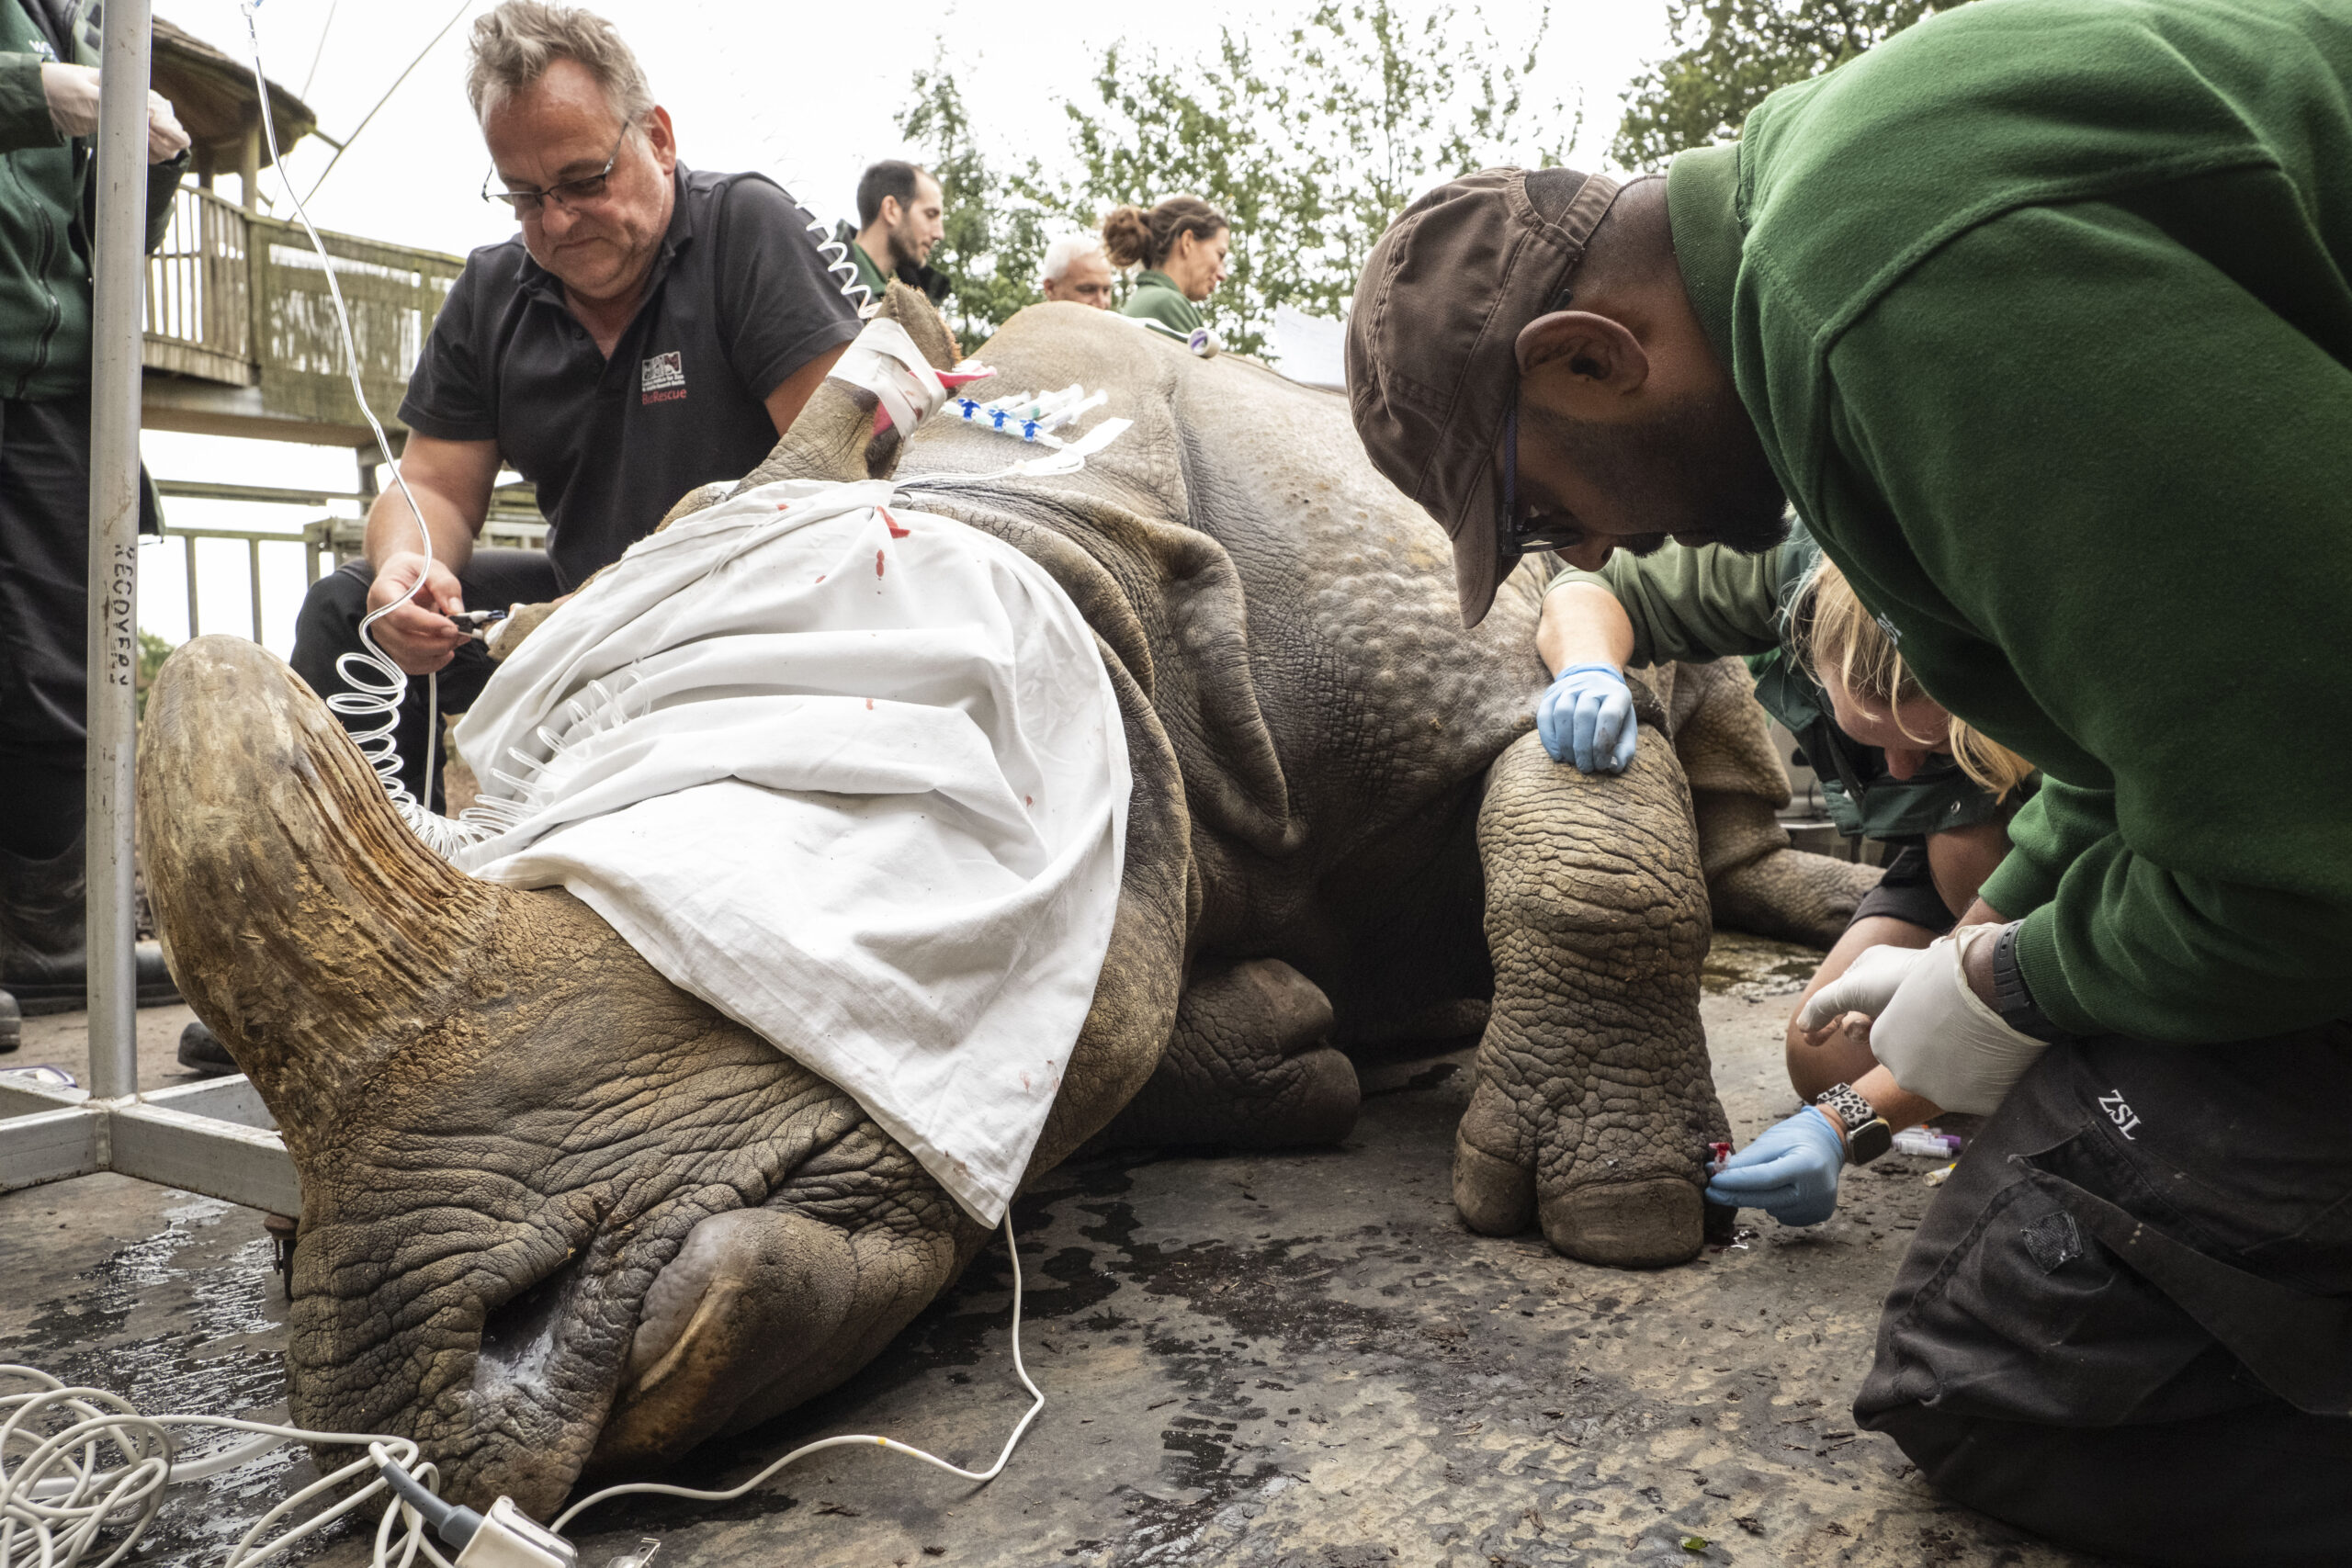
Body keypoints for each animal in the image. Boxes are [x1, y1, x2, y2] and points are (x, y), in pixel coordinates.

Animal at [137, 287, 1874, 1514]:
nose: (396, 1411)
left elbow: (1584, 796)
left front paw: (1618, 1214)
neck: (1084, 566)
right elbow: (1134, 1024)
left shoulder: (1471, 643)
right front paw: (1293, 1037)